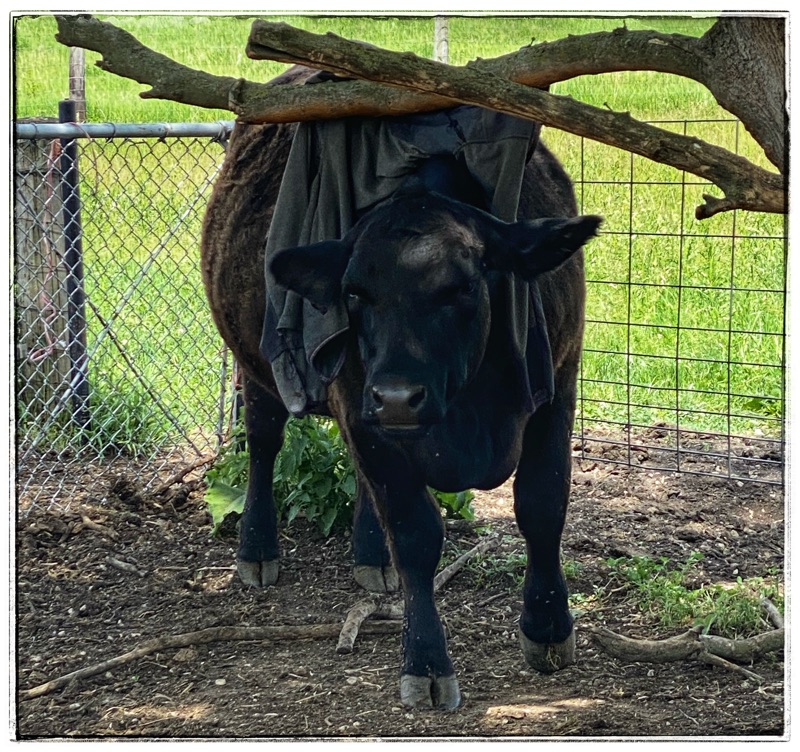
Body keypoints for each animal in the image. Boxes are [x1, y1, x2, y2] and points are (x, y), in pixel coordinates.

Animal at [201, 70, 601, 711]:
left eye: (463, 287)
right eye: (354, 293)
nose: (395, 396)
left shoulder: (556, 388)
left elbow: (542, 507)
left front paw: (548, 628)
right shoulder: (362, 411)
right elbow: (414, 534)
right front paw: (427, 662)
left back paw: (370, 558)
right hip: (259, 368)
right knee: (263, 444)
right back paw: (257, 550)